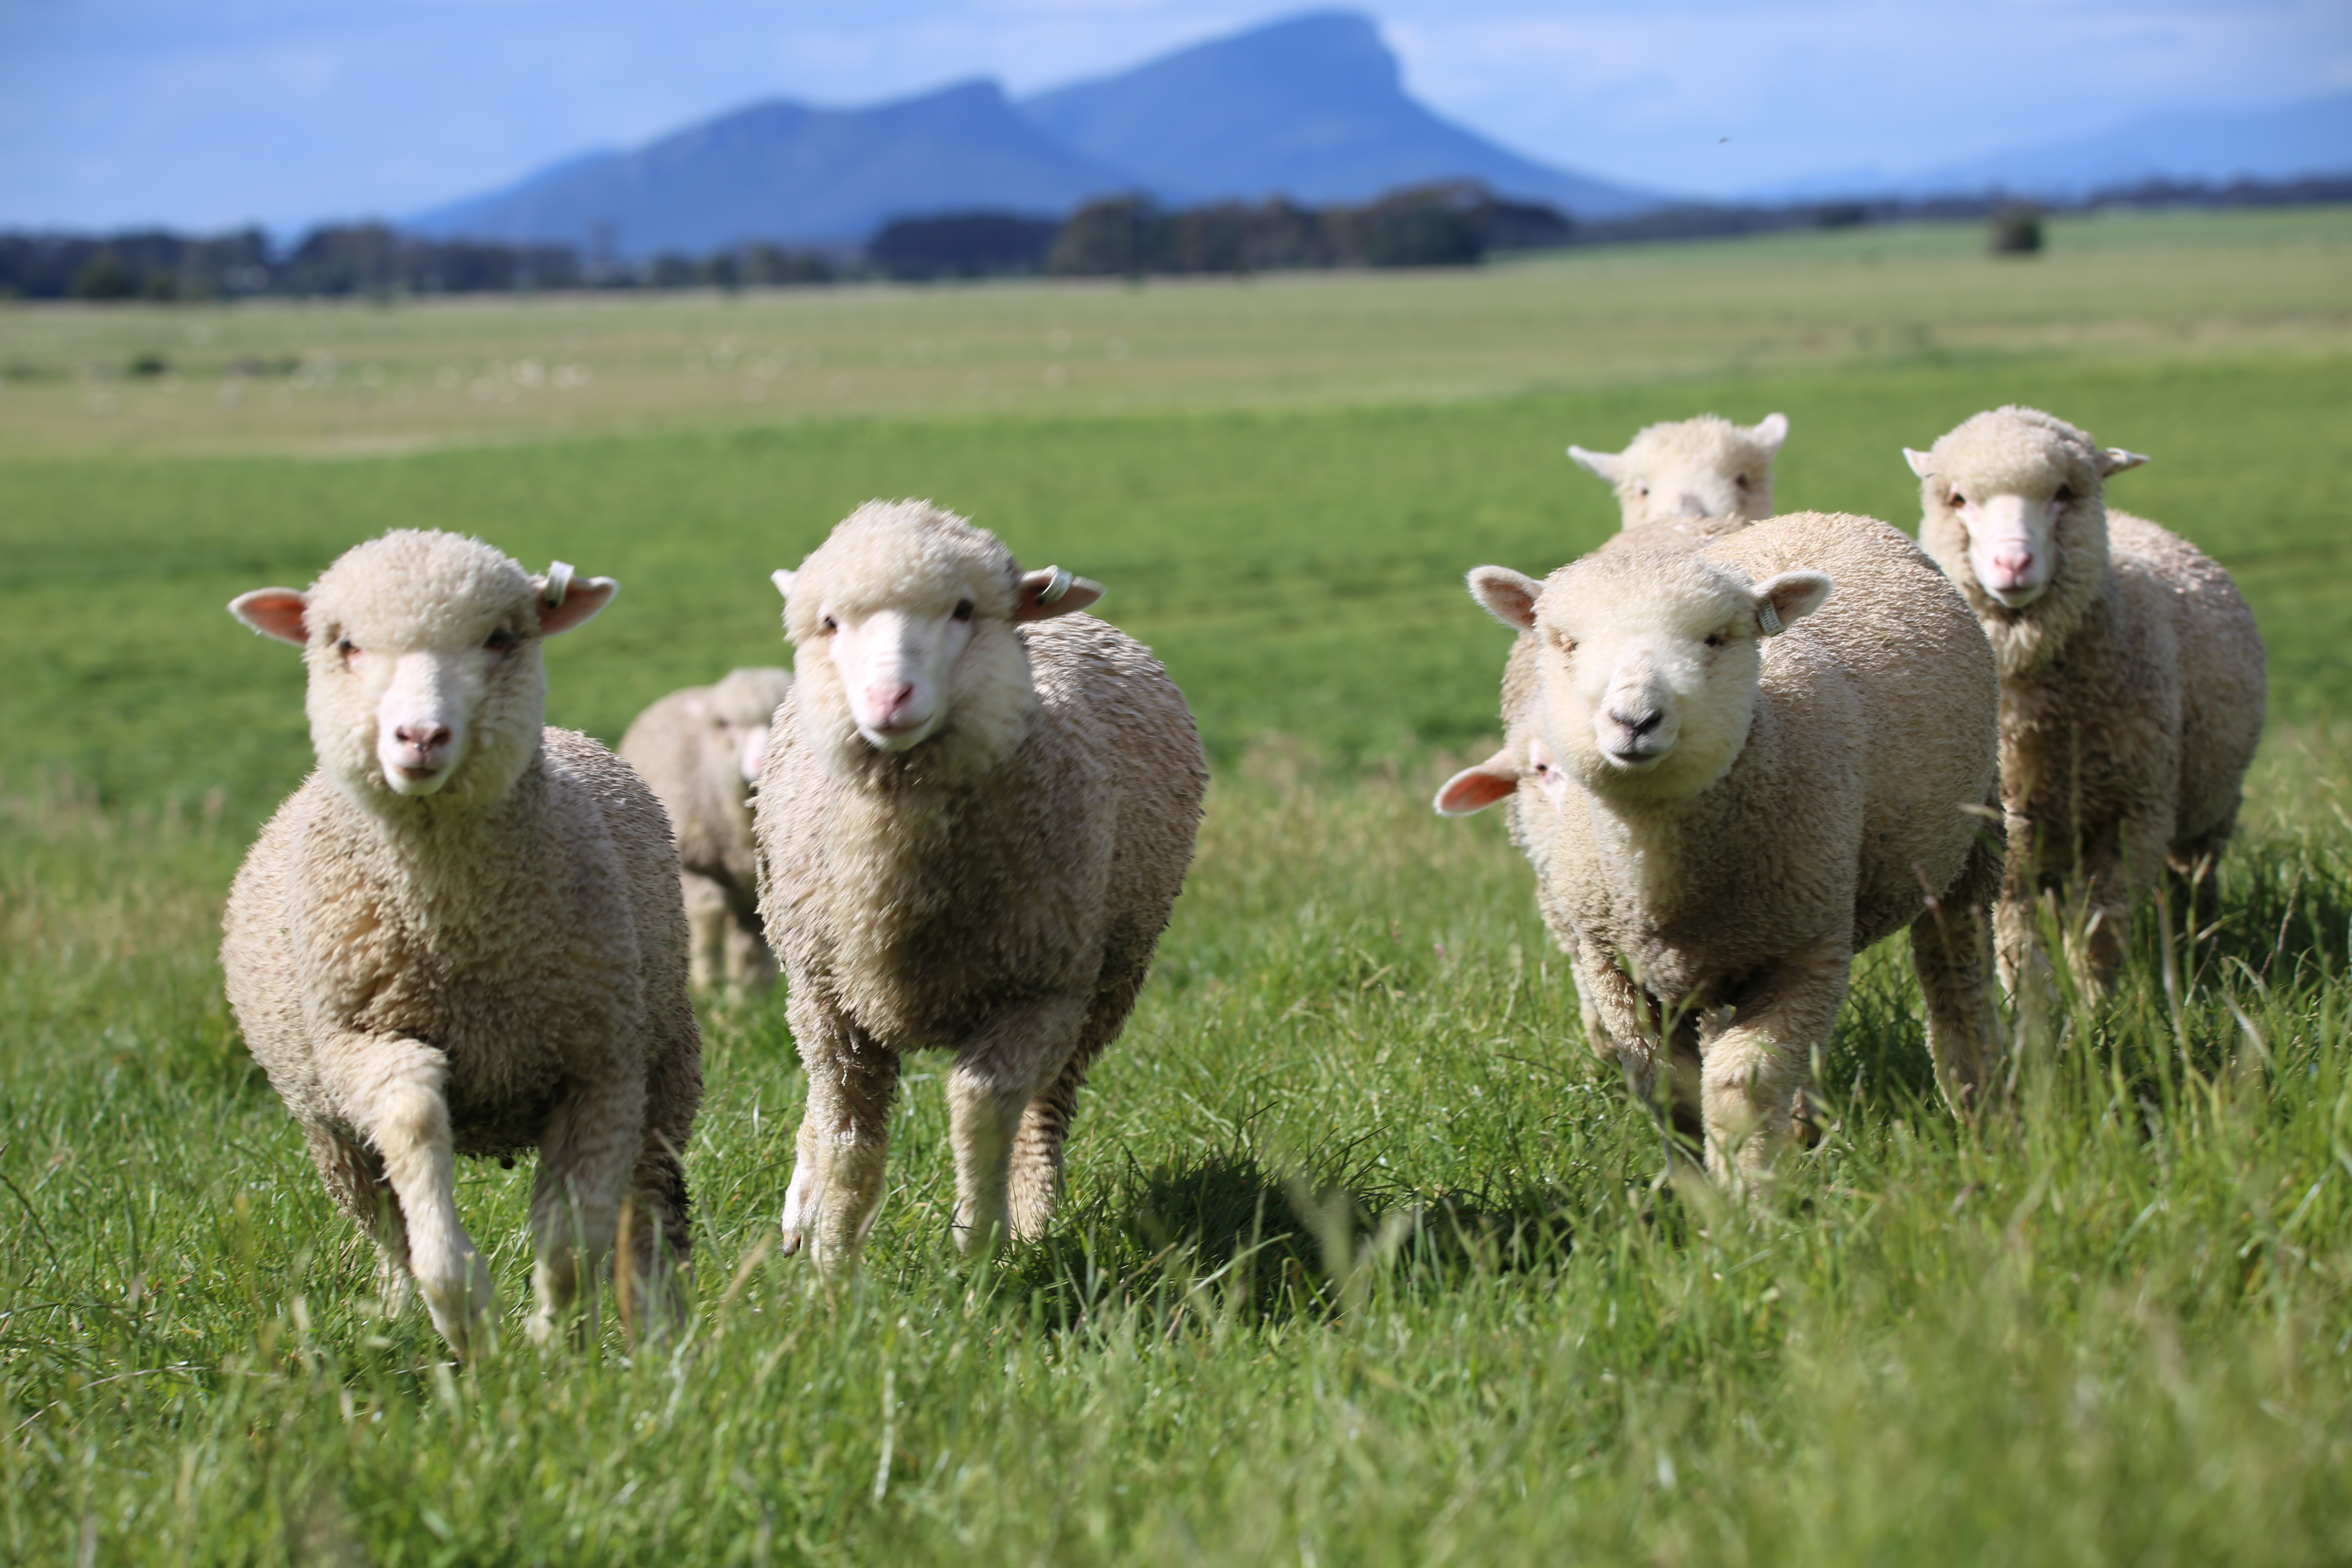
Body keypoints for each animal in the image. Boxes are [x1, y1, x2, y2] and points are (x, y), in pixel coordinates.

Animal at [220, 530, 702, 1357]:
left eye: (500, 638)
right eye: (344, 643)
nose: (420, 736)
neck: (463, 937)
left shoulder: (603, 1067)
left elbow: (570, 1240)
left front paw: (552, 1337)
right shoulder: (357, 1044)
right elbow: (414, 1117)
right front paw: (467, 1310)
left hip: (664, 1073)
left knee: (645, 1214)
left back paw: (654, 1333)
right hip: (328, 1131)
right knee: (383, 1227)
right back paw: (396, 1312)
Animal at [619, 666, 796, 992]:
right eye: (726, 725)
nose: (762, 764)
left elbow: (752, 938)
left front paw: (751, 991)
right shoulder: (691, 864)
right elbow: (708, 916)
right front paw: (708, 984)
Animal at [752, 500, 1206, 1269]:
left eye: (964, 611)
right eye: (830, 622)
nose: (889, 698)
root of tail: (1053, 610)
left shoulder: (1043, 991)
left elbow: (981, 1104)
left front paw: (977, 1242)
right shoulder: (829, 1005)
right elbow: (850, 1143)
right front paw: (833, 1268)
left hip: (1106, 985)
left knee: (1046, 1110)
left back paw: (1029, 1218)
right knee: (822, 1105)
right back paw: (802, 1209)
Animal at [1437, 513, 2004, 1189]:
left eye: (1715, 639)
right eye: (1567, 643)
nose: (1635, 719)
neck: (1656, 871)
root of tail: (1825, 518)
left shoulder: (1804, 950)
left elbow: (1740, 1088)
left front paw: (1747, 1197)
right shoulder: (1614, 967)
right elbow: (1668, 1090)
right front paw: (1693, 1192)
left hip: (1970, 851)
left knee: (1958, 985)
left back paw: (1982, 1115)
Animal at [1904, 407, 2266, 992]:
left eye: (2063, 493)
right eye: (1959, 499)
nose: (2013, 564)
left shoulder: (2128, 816)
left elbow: (2102, 928)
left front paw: (2096, 1000)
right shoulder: (2010, 827)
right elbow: (2018, 937)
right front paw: (2028, 1001)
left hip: (2209, 808)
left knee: (2195, 879)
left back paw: (2197, 946)